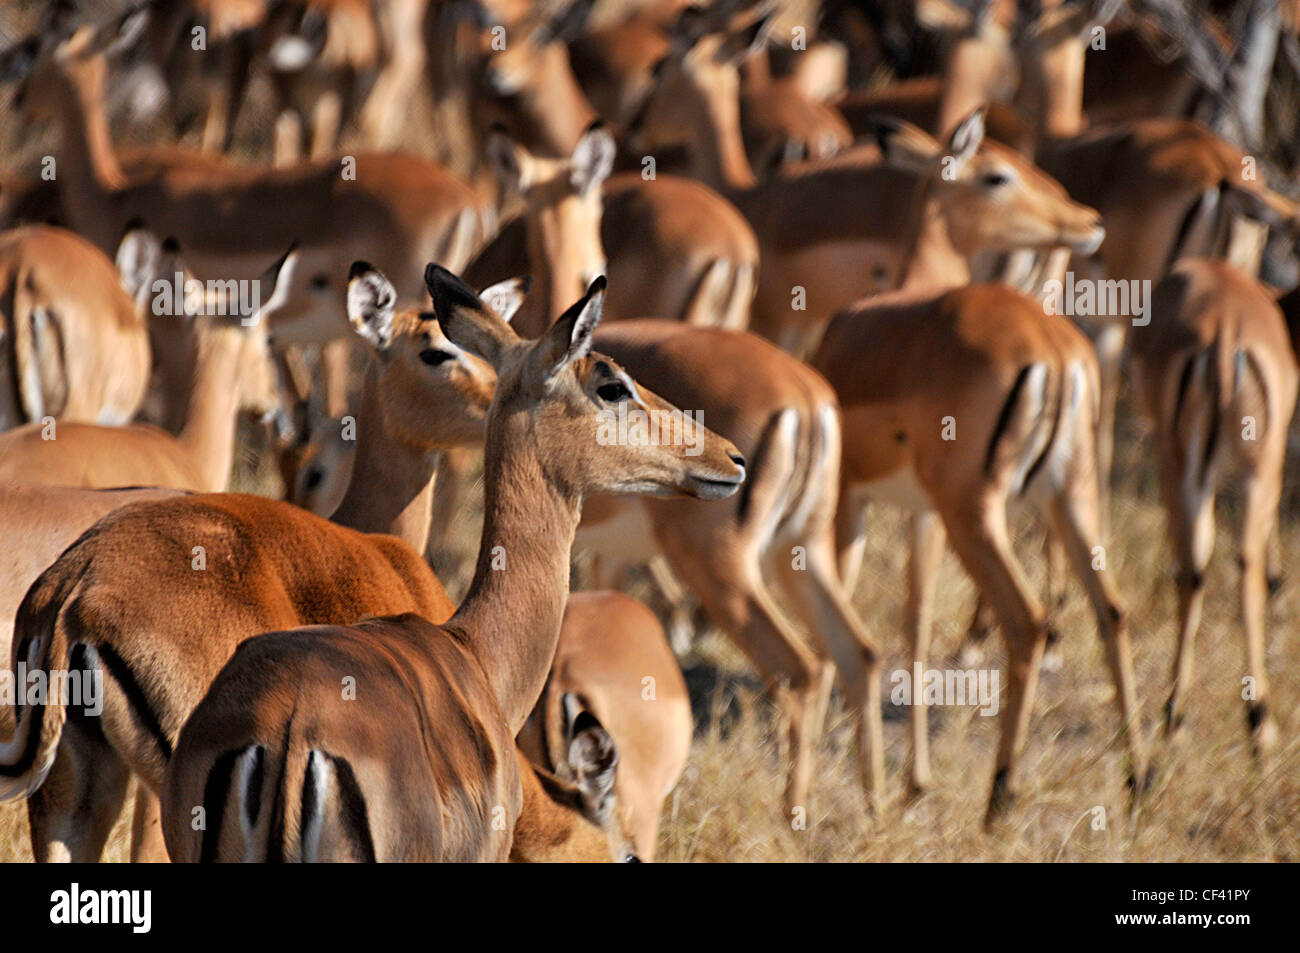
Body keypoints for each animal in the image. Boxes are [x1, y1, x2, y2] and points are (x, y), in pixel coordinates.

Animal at [810, 111, 1147, 826]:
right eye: (998, 174)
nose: (1086, 217)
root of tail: (1056, 351)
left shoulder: (853, 497)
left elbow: (844, 615)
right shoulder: (919, 511)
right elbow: (913, 621)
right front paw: (914, 780)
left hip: (978, 511)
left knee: (1030, 621)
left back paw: (1000, 797)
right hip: (1068, 495)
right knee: (1111, 609)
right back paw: (1141, 780)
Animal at [1130, 258, 1299, 755]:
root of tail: (1225, 331)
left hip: (1196, 466)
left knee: (1202, 566)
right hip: (1250, 468)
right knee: (1235, 565)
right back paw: (1254, 721)